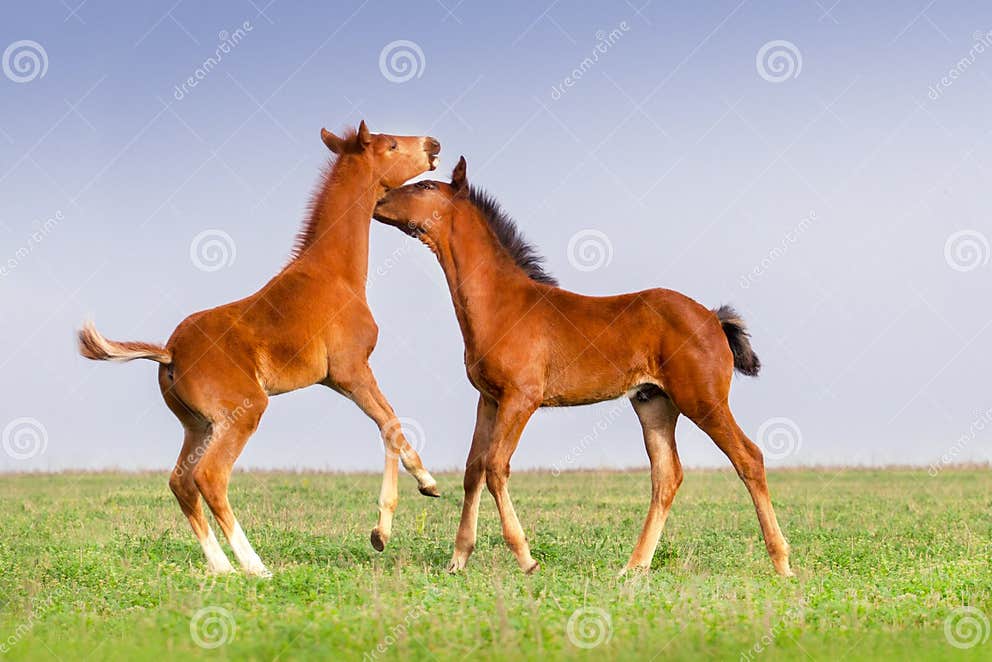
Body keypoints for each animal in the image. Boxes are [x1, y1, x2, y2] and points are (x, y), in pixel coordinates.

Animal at [78, 121, 442, 576]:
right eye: (391, 144)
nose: (434, 145)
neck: (335, 274)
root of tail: (170, 351)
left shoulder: (336, 380)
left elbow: (385, 424)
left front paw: (390, 522)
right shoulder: (351, 370)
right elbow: (391, 422)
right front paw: (418, 492)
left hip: (198, 425)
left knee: (181, 481)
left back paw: (222, 567)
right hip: (245, 410)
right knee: (209, 477)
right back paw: (254, 566)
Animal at [371, 156, 794, 577]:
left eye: (425, 186)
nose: (378, 199)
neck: (502, 304)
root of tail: (712, 317)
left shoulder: (521, 398)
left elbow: (495, 466)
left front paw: (525, 557)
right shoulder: (488, 399)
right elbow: (473, 470)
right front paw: (458, 558)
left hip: (702, 400)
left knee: (749, 458)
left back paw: (781, 562)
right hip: (654, 403)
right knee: (667, 477)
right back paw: (634, 567)